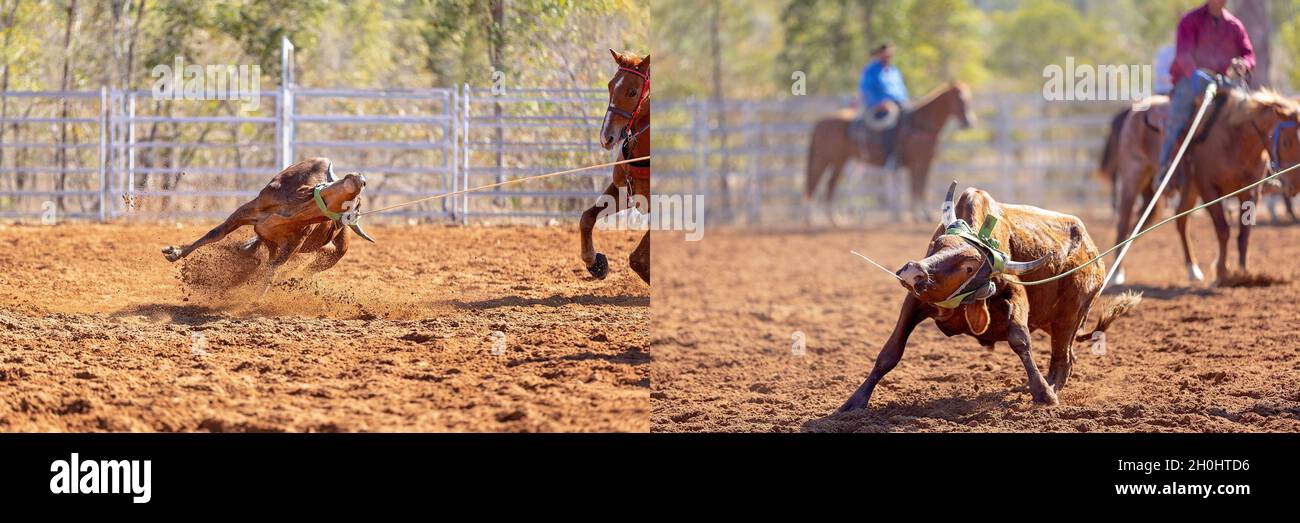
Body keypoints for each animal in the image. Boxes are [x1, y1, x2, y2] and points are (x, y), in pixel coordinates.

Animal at [161, 157, 375, 293]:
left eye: (356, 205)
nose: (361, 179)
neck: (296, 208)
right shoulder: (247, 211)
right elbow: (216, 233)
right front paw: (175, 252)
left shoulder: (292, 245)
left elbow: (272, 269)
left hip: (333, 255)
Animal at [836, 182, 1141, 412]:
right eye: (936, 244)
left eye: (969, 267)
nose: (913, 271)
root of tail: (1092, 251)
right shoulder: (915, 301)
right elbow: (890, 353)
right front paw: (854, 402)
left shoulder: (1015, 293)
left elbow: (1019, 339)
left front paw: (1043, 394)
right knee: (1069, 356)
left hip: (1070, 315)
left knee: (1062, 359)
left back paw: (1050, 387)